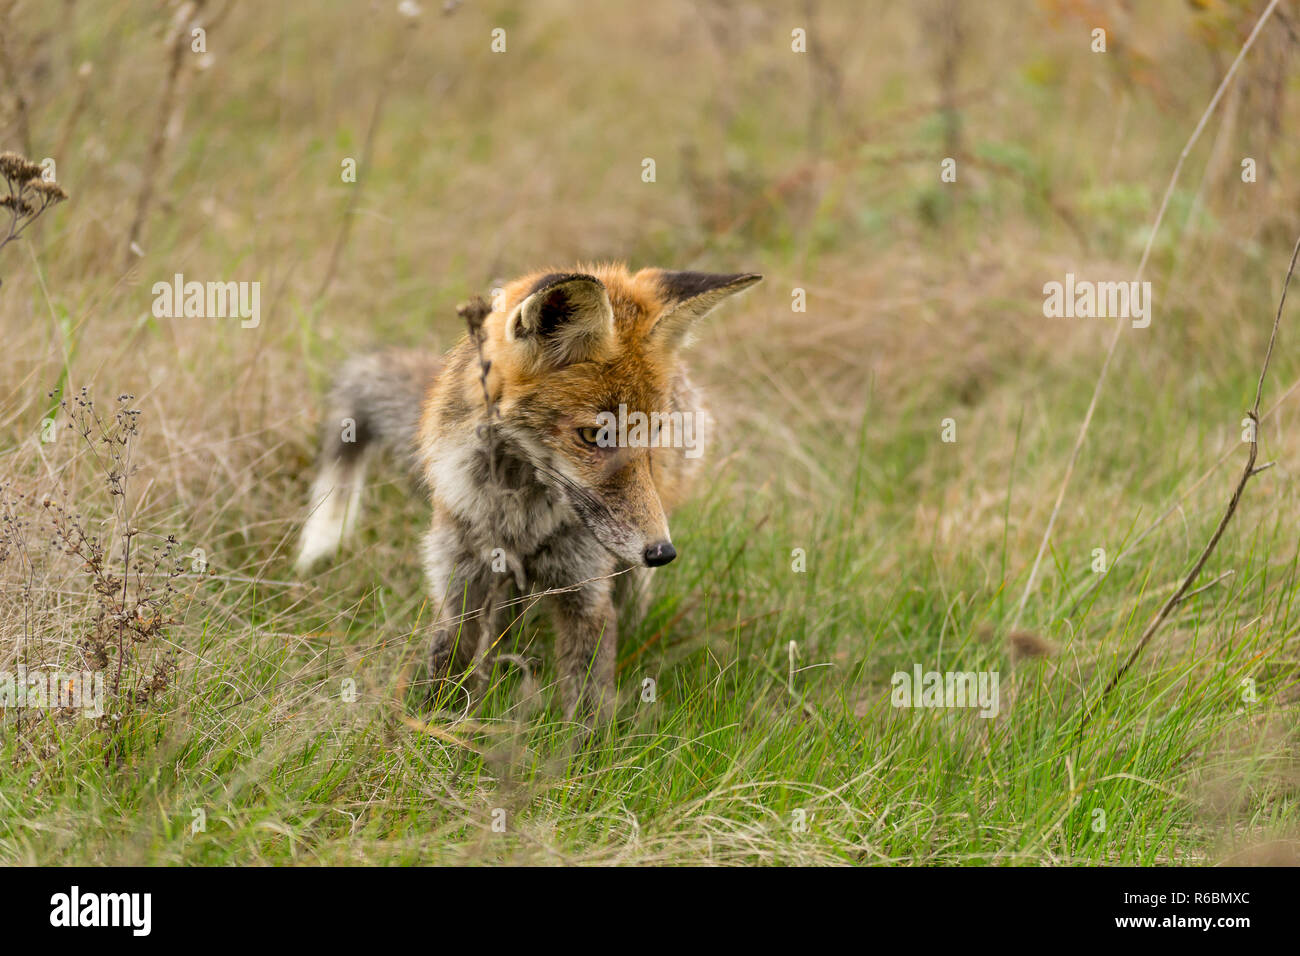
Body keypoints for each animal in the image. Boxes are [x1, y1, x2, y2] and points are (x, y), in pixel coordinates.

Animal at [295, 263, 761, 723]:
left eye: (656, 430)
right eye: (594, 435)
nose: (662, 551)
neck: (521, 513)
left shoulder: (586, 589)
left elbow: (588, 704)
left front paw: (587, 747)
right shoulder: (459, 578)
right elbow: (444, 669)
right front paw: (428, 729)